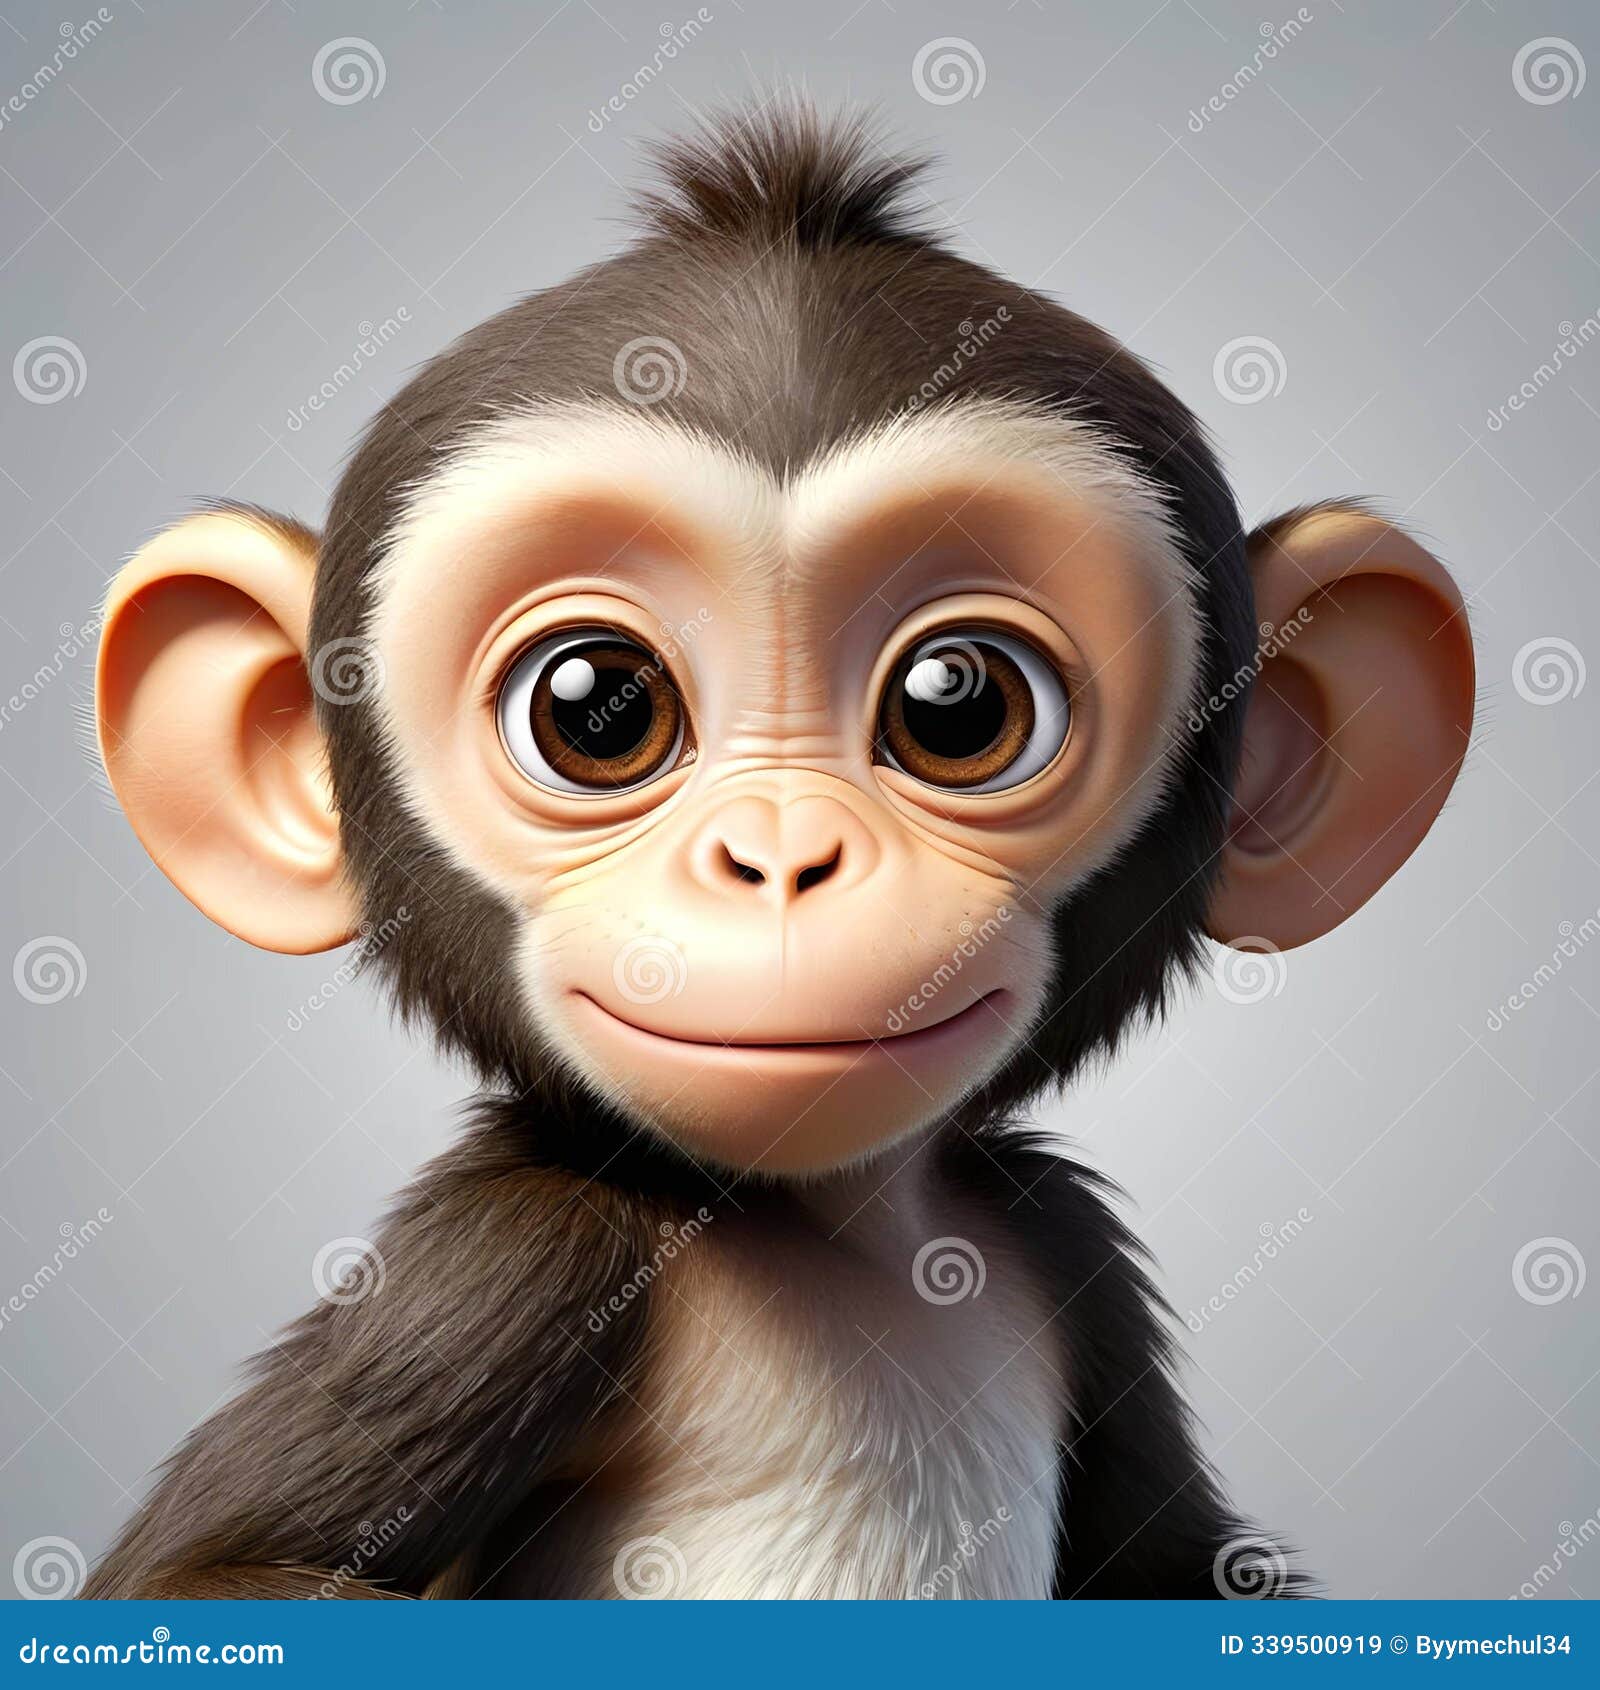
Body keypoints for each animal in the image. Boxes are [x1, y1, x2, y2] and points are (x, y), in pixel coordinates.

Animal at [83, 105, 1474, 1601]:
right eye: (595, 705)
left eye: (957, 702)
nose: (783, 854)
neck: (842, 1228)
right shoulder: (516, 1261)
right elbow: (217, 1578)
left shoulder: (1066, 1236)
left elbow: (1179, 1562)